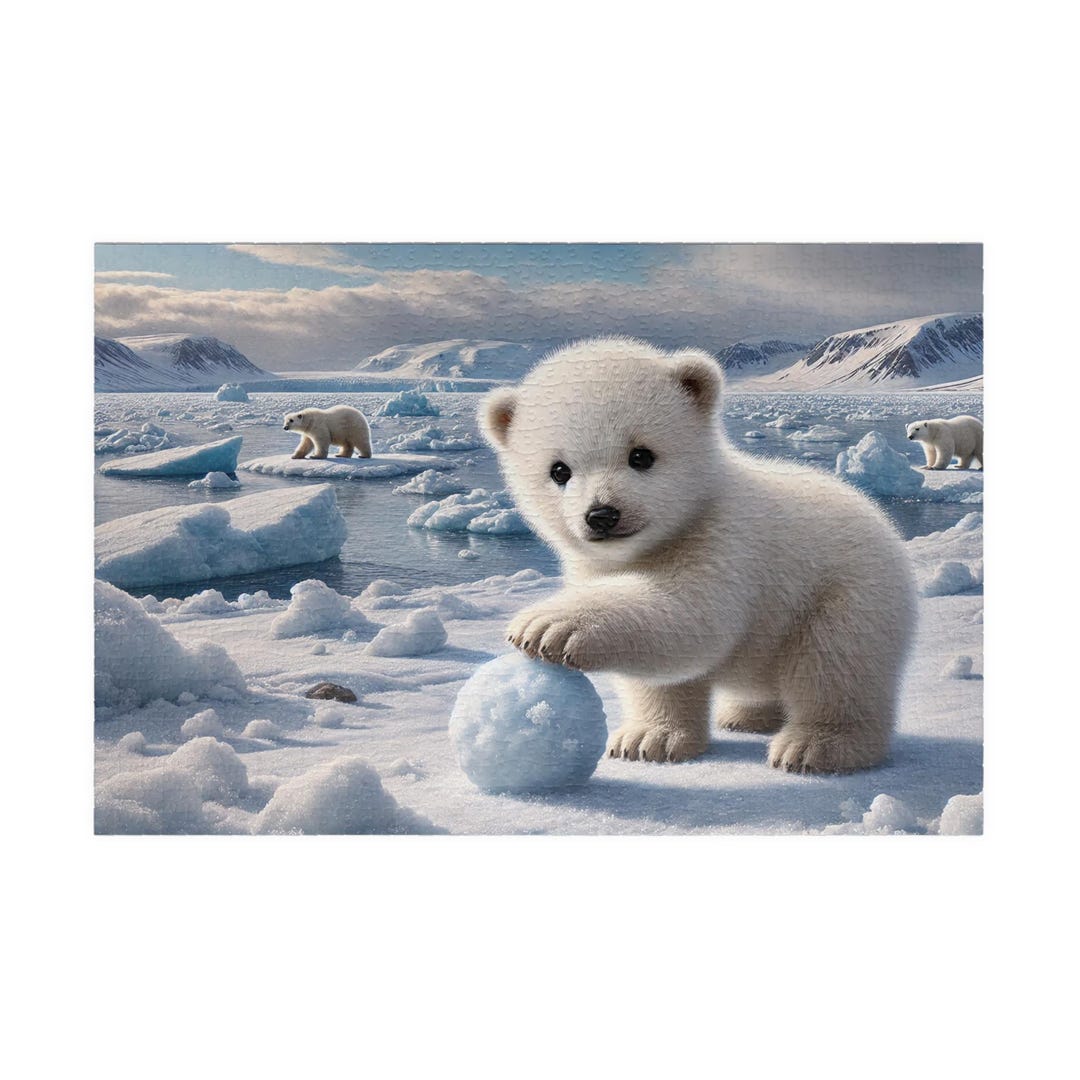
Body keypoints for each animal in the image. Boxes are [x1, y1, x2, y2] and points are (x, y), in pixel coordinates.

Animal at [480, 337, 917, 774]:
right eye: (559, 470)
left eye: (641, 455)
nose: (602, 515)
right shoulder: (595, 564)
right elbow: (662, 676)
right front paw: (648, 739)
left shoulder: (725, 538)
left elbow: (690, 614)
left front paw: (545, 627)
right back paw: (745, 715)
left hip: (845, 593)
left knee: (834, 664)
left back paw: (816, 745)